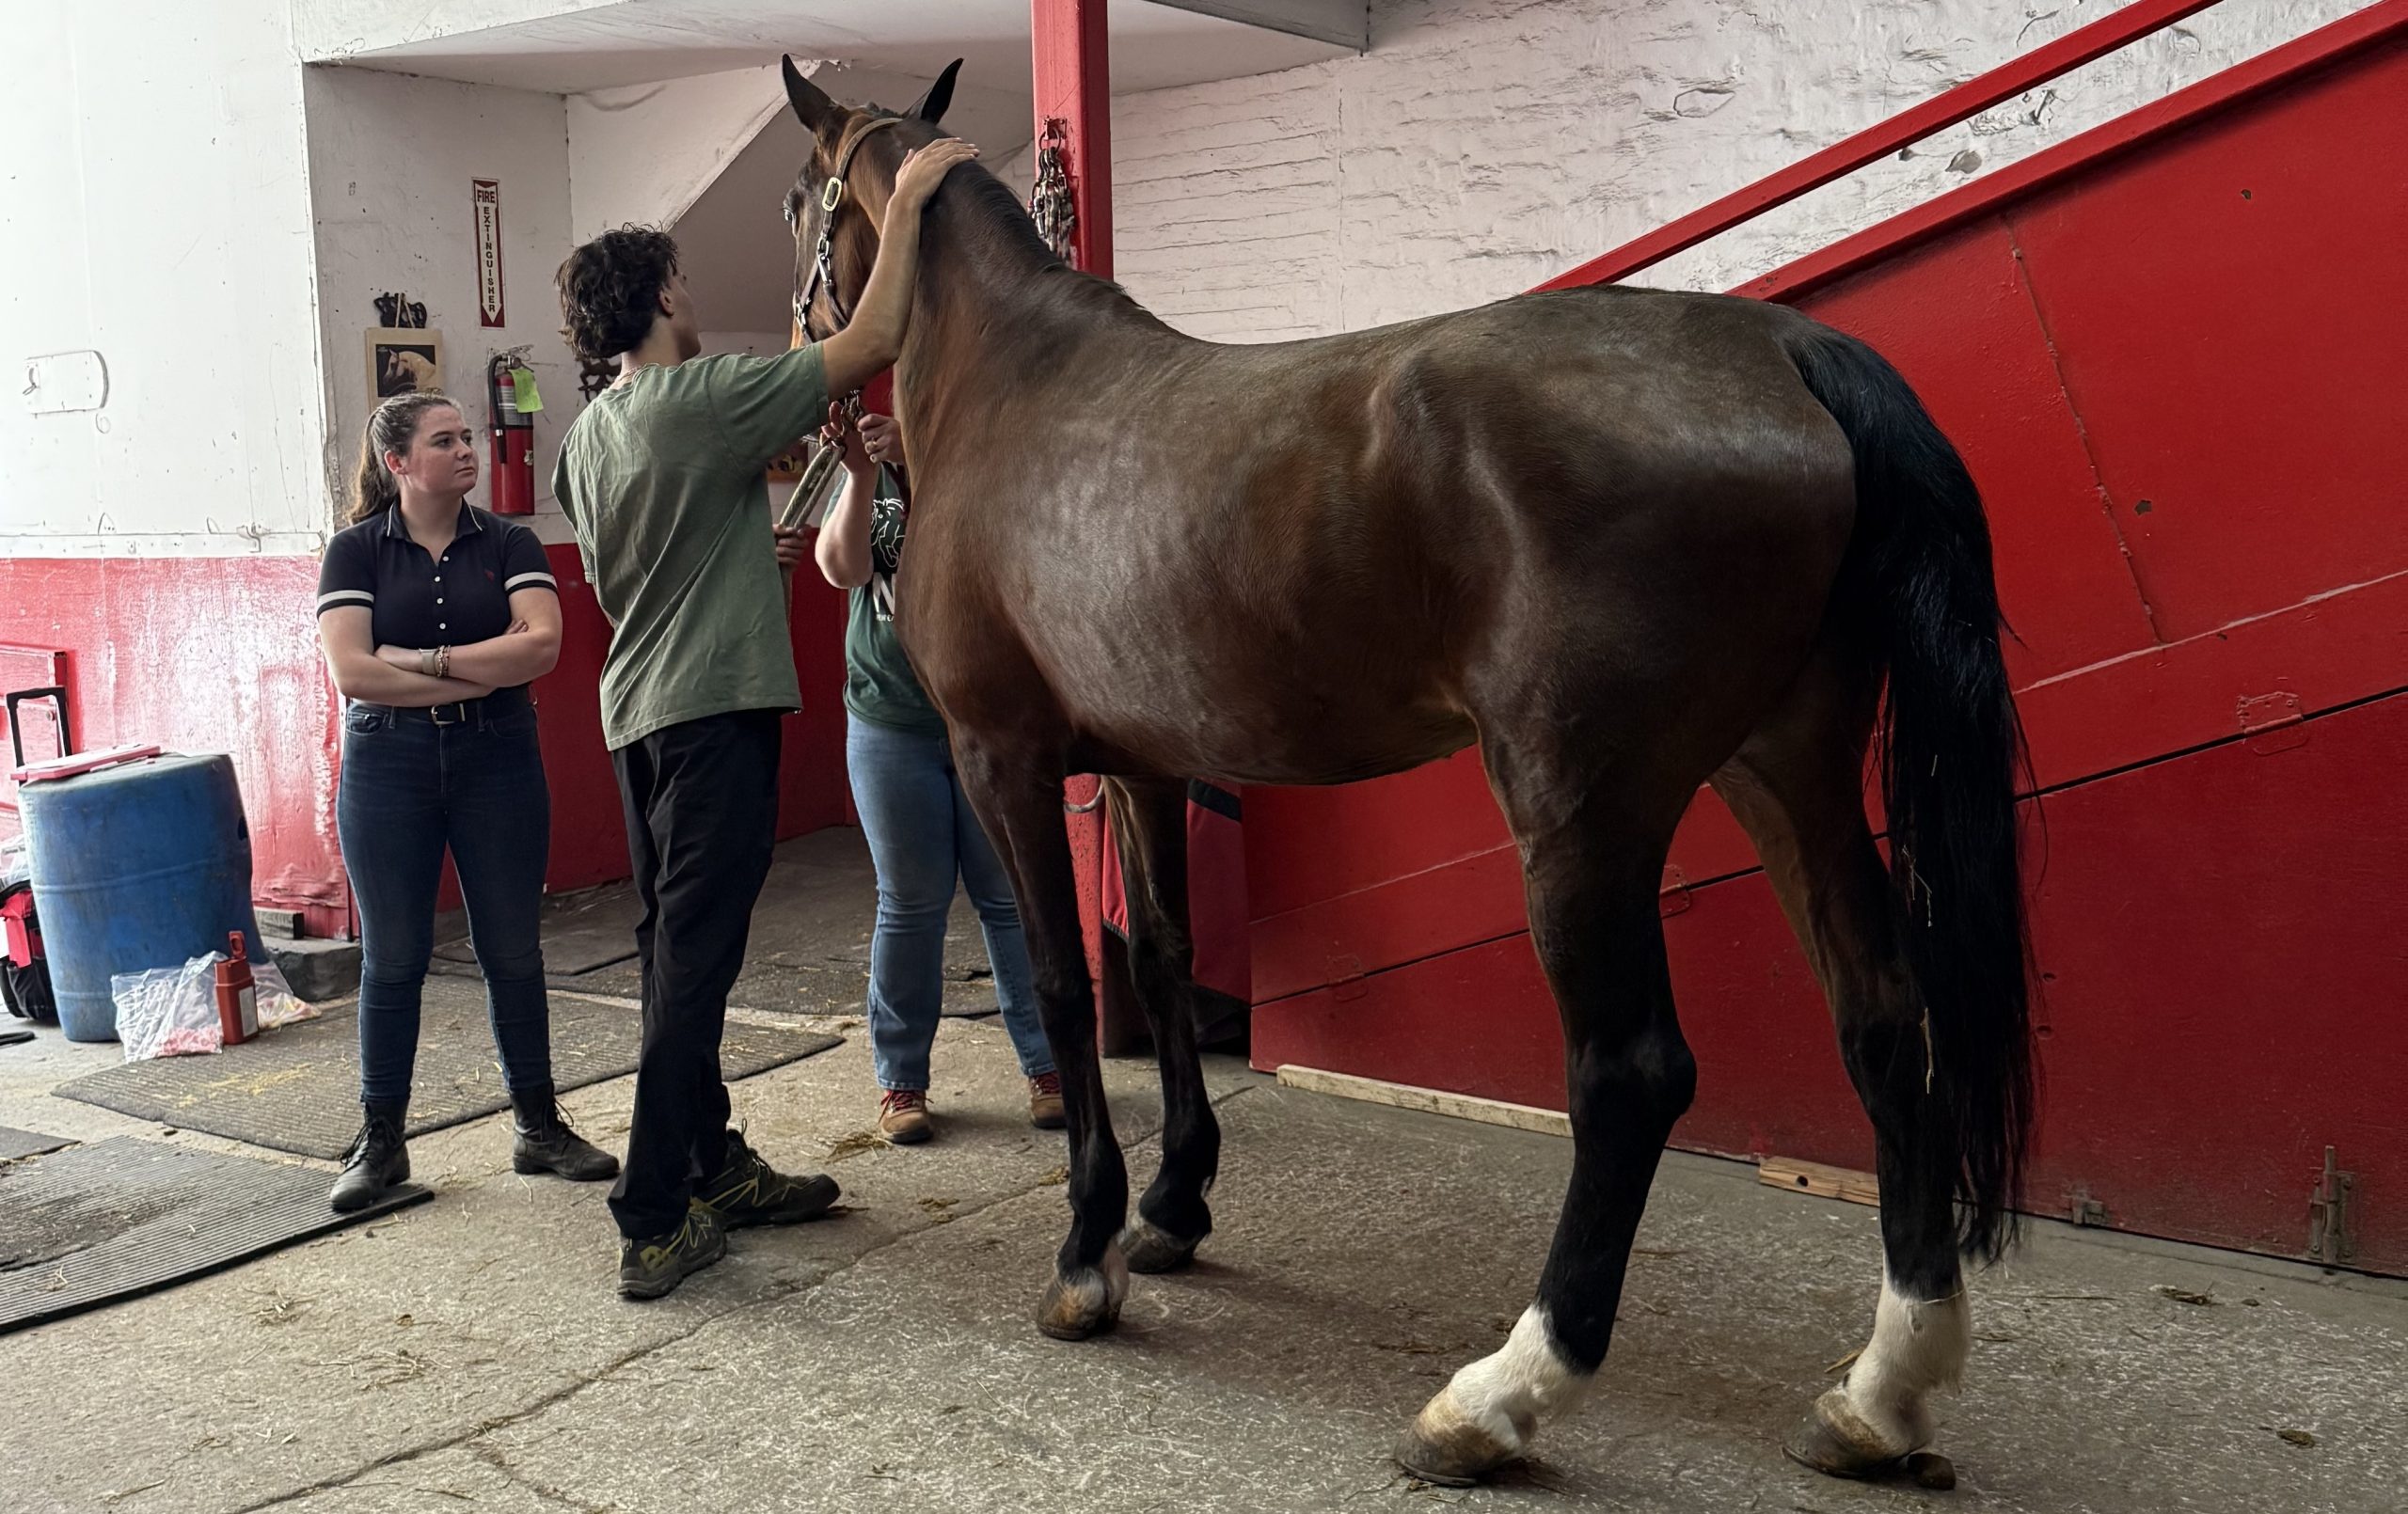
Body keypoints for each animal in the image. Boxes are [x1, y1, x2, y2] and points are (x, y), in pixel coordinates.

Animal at [778, 57, 2035, 1487]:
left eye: (797, 205)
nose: (798, 385)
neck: (1020, 390)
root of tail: (1784, 352)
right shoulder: (1146, 768)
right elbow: (1157, 954)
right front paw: (1173, 1203)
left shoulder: (1007, 759)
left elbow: (1057, 979)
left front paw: (1087, 1253)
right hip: (1791, 773)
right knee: (1882, 1016)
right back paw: (1881, 1389)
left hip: (1583, 810)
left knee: (1631, 1071)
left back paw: (1495, 1396)